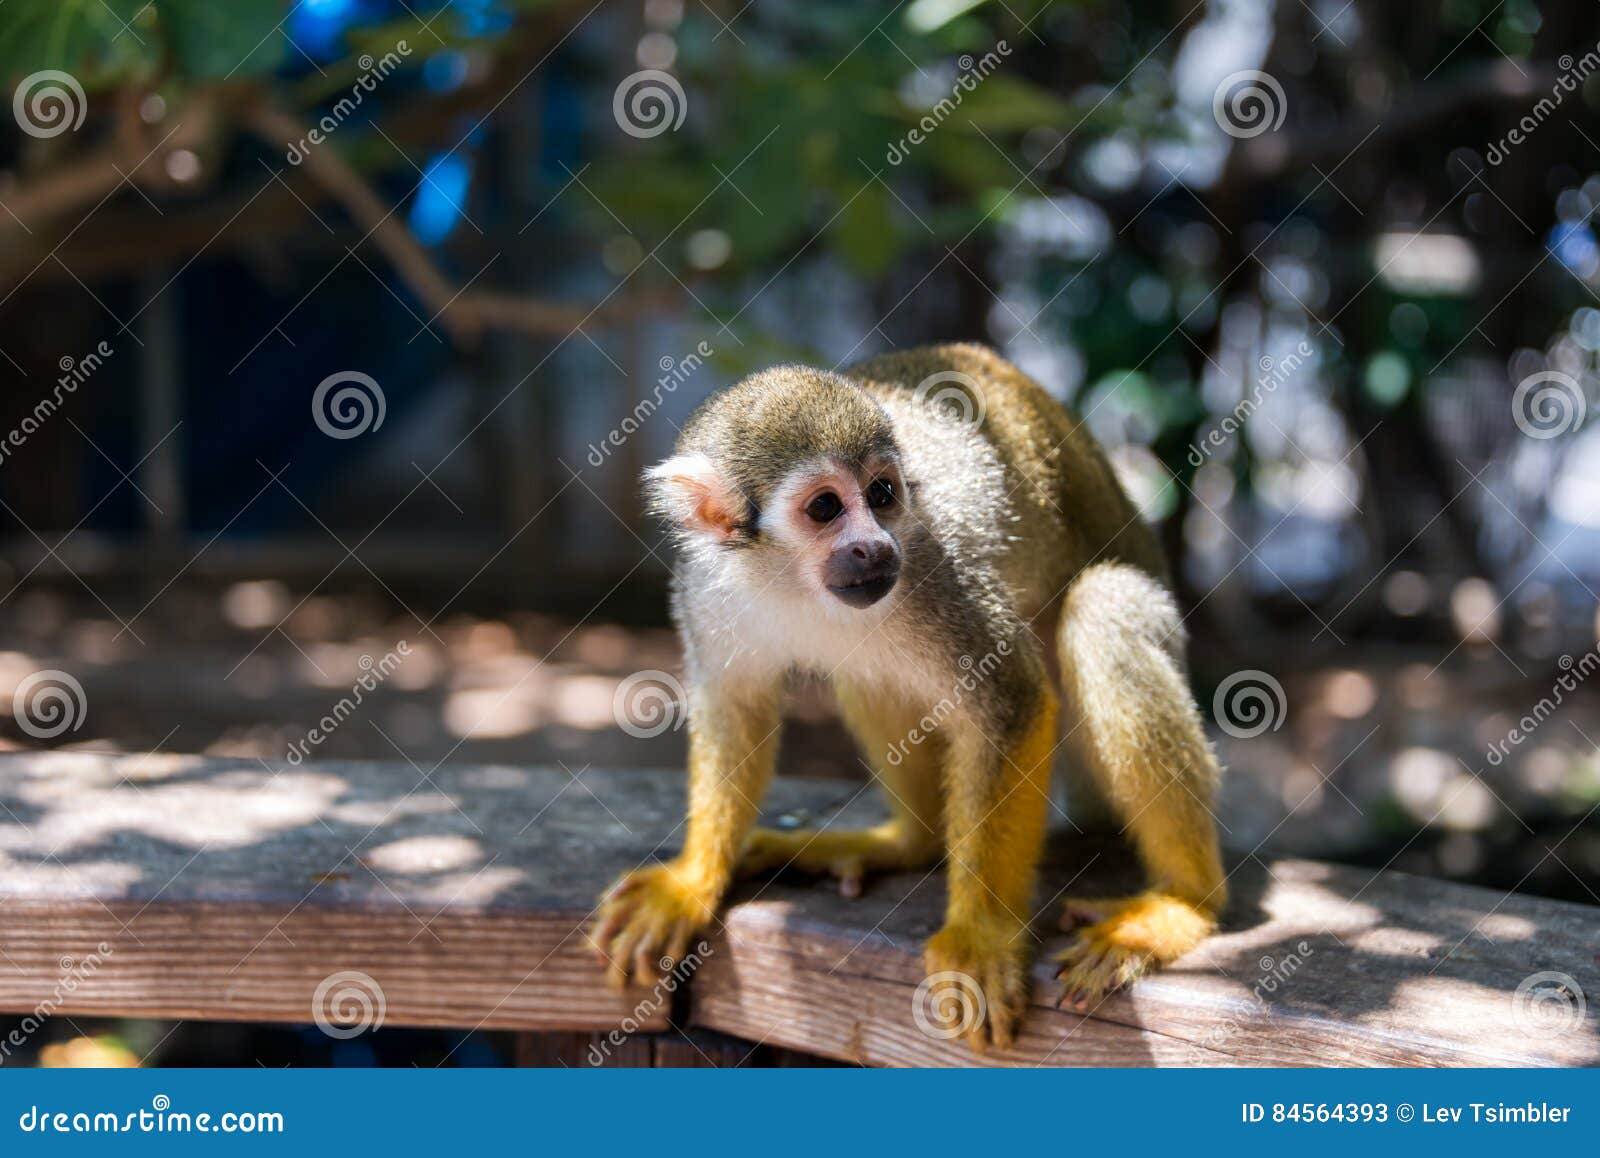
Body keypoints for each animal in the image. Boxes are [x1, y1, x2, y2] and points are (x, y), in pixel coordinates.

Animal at [590, 342, 1226, 1053]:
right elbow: (734, 707)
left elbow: (1011, 701)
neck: (790, 583)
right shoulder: (708, 587)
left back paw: (1183, 901)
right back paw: (909, 844)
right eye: (824, 508)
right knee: (865, 673)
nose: (873, 545)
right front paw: (691, 883)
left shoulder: (935, 572)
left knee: (1102, 608)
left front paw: (980, 938)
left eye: (882, 493)